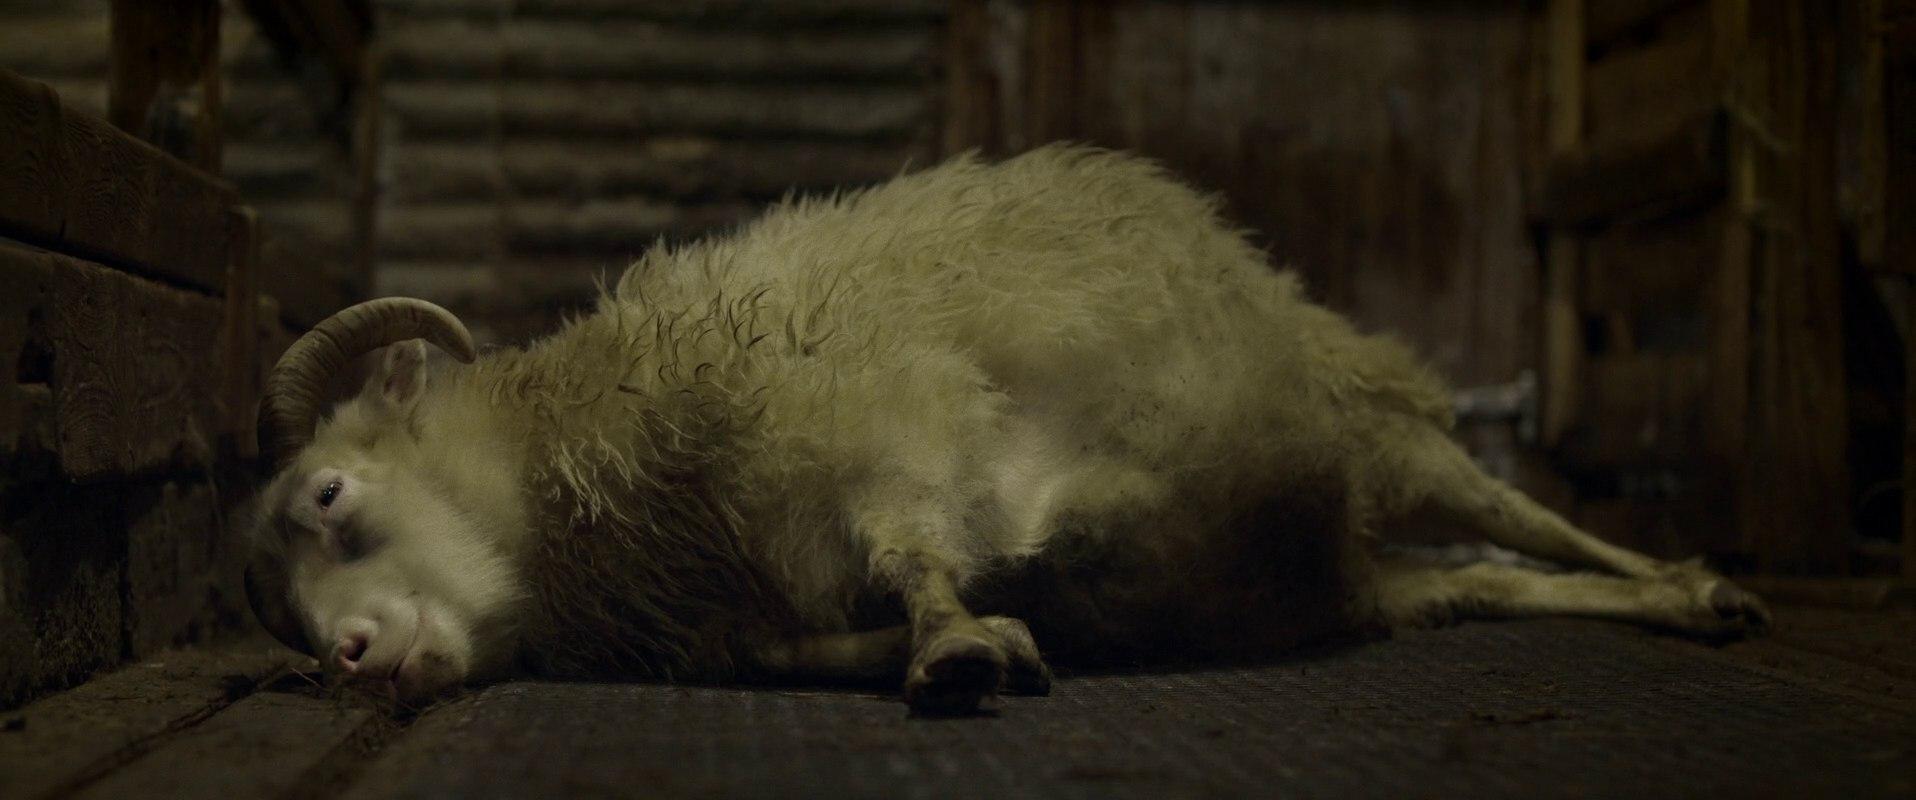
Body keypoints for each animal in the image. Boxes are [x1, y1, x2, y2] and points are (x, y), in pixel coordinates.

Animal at [243, 145, 1769, 714]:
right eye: (295, 622)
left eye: (327, 494)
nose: (350, 658)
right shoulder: (742, 611)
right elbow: (824, 639)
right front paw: (993, 626)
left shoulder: (883, 431)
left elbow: (919, 547)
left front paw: (958, 646)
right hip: (1347, 568)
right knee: (1486, 582)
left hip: (1383, 429)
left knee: (1528, 519)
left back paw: (1699, 587)